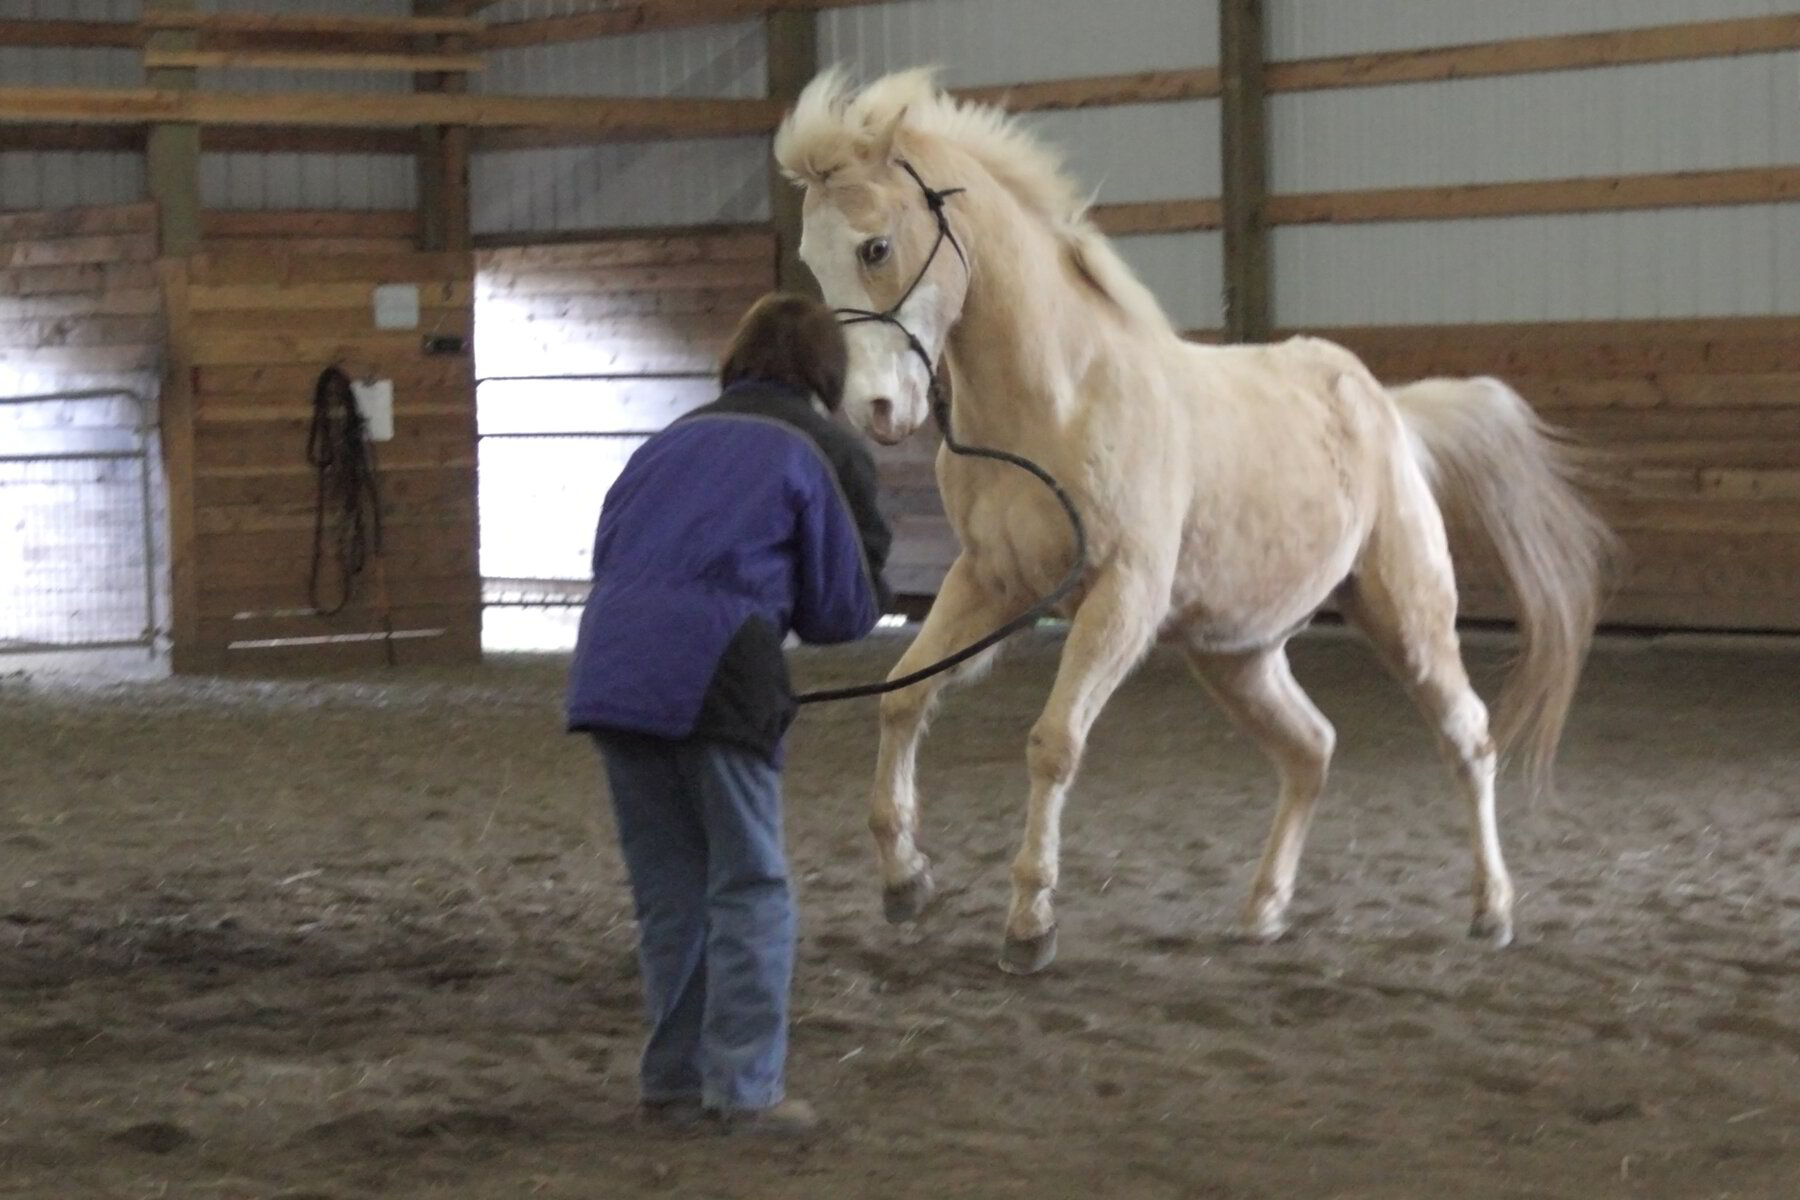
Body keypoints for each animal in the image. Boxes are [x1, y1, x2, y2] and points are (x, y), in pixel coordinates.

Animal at [774, 68, 1613, 974]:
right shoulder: (989, 584)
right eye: (812, 261)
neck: (1058, 403)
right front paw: (906, 881)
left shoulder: (1122, 596)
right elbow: (902, 698)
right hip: (1237, 654)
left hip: (1409, 617)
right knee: (1311, 748)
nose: (874, 410)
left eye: (876, 247)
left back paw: (1492, 909)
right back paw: (1264, 909)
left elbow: (1053, 743)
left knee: (1469, 736)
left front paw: (1029, 923)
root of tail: (1386, 408)